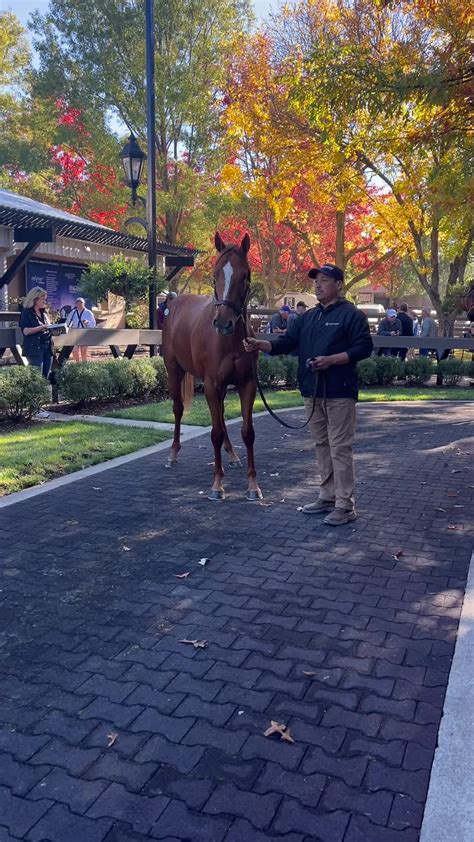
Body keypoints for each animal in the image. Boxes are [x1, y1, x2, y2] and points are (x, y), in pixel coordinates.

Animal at [161, 230, 262, 498]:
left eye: (245, 275)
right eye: (215, 276)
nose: (224, 323)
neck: (229, 341)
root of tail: (173, 303)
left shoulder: (247, 384)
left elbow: (248, 432)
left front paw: (253, 484)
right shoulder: (211, 384)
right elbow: (214, 433)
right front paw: (217, 484)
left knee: (222, 414)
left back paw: (232, 454)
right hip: (174, 371)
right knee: (178, 409)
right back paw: (172, 454)